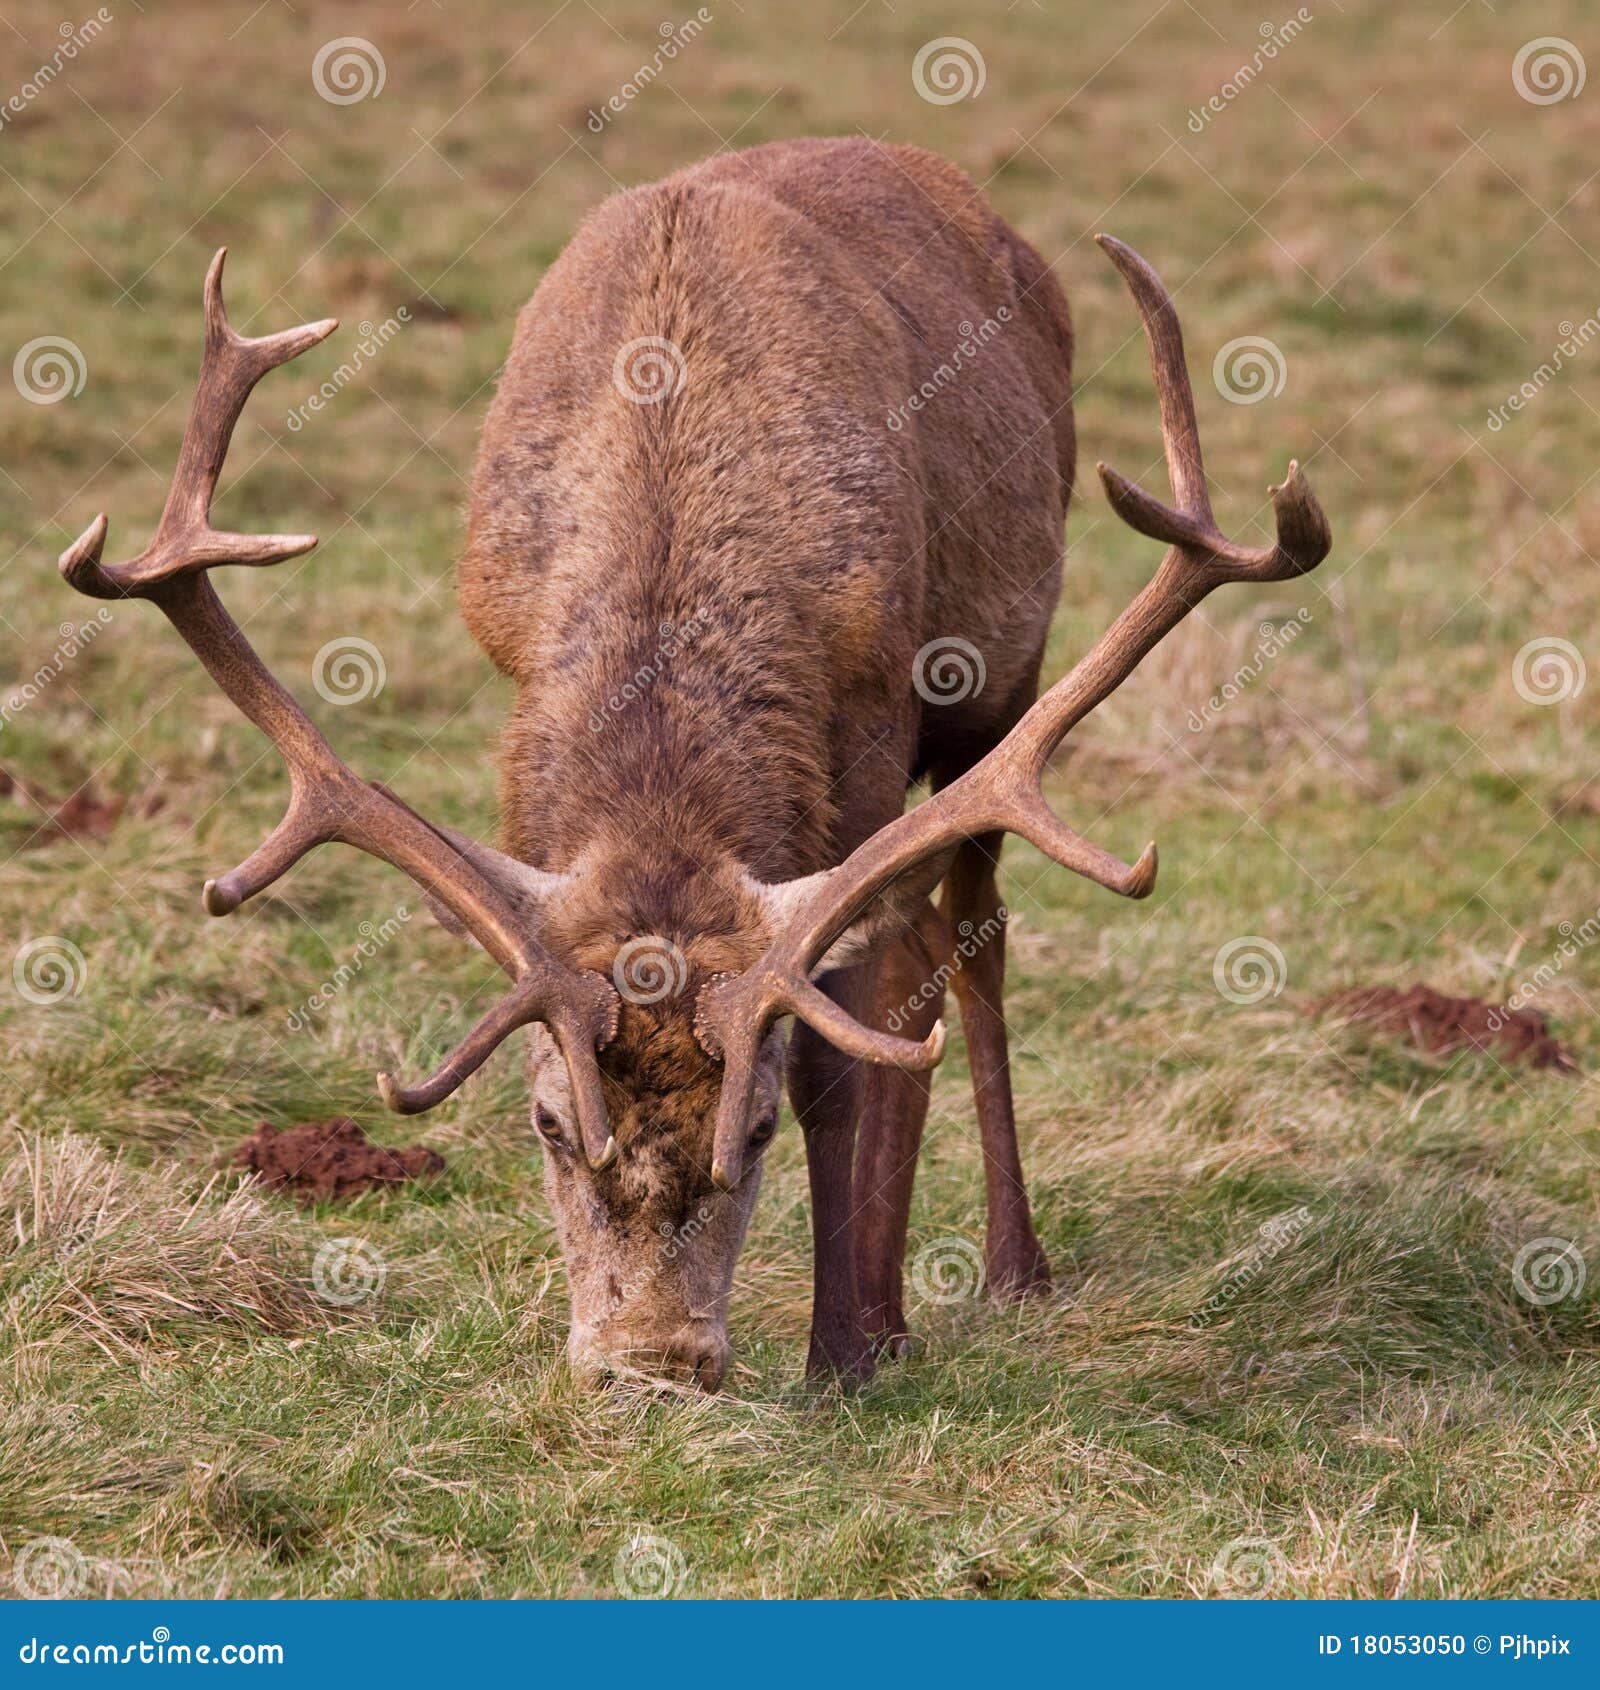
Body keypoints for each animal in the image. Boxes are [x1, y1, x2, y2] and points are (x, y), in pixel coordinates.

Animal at [61, 138, 1329, 1390]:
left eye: (752, 1128)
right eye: (549, 1125)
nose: (655, 1361)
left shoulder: (873, 715)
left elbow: (839, 1056)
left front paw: (837, 1351)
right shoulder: (511, 681)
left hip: (999, 691)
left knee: (965, 943)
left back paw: (999, 1272)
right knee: (919, 943)